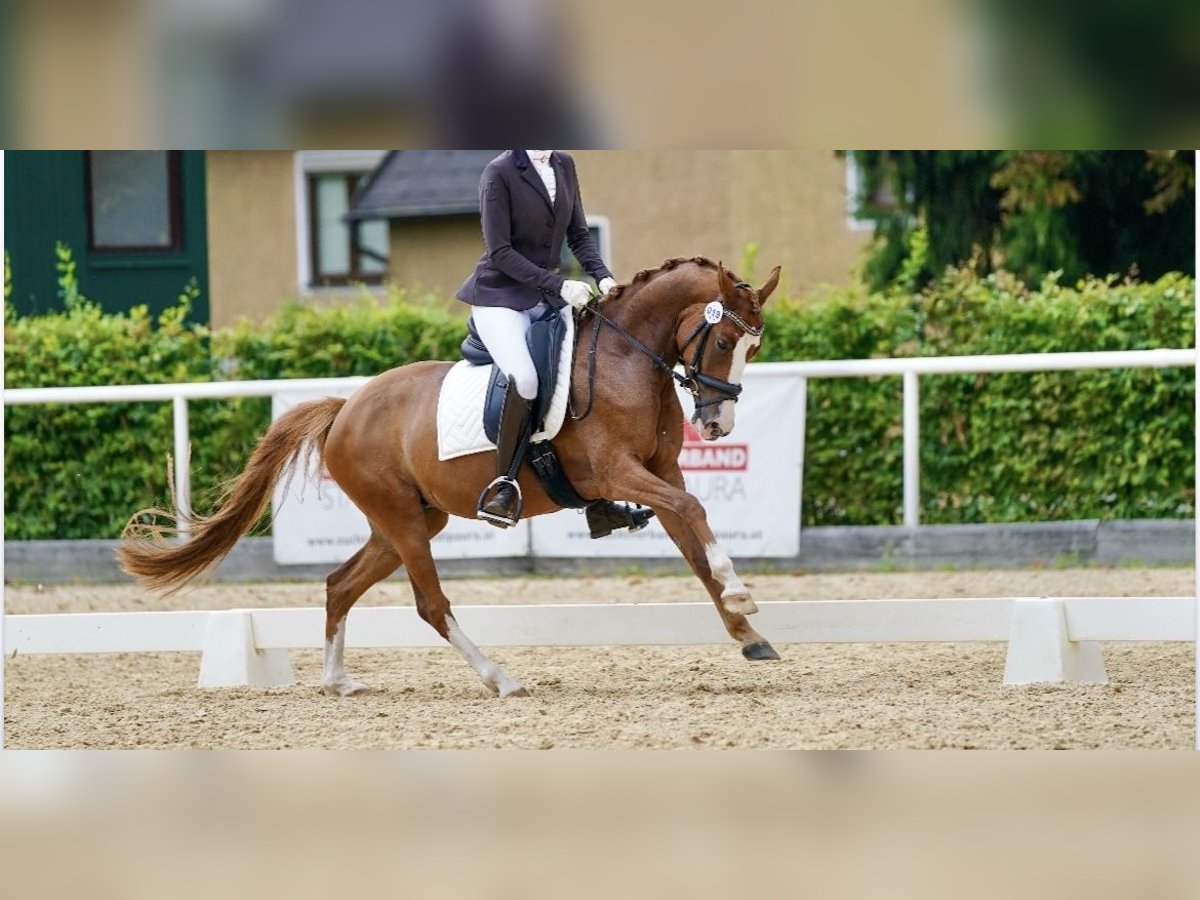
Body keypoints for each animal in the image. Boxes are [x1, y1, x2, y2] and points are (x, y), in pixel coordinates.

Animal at [117, 256, 783, 698]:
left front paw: (746, 629)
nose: (718, 423)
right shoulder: (618, 473)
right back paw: (500, 678)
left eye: (753, 348)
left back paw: (338, 681)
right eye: (724, 340)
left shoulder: (660, 472)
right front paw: (741, 593)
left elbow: (694, 543)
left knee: (339, 585)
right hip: (404, 523)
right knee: (430, 605)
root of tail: (346, 408)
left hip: (408, 521)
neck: (625, 360)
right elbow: (695, 514)